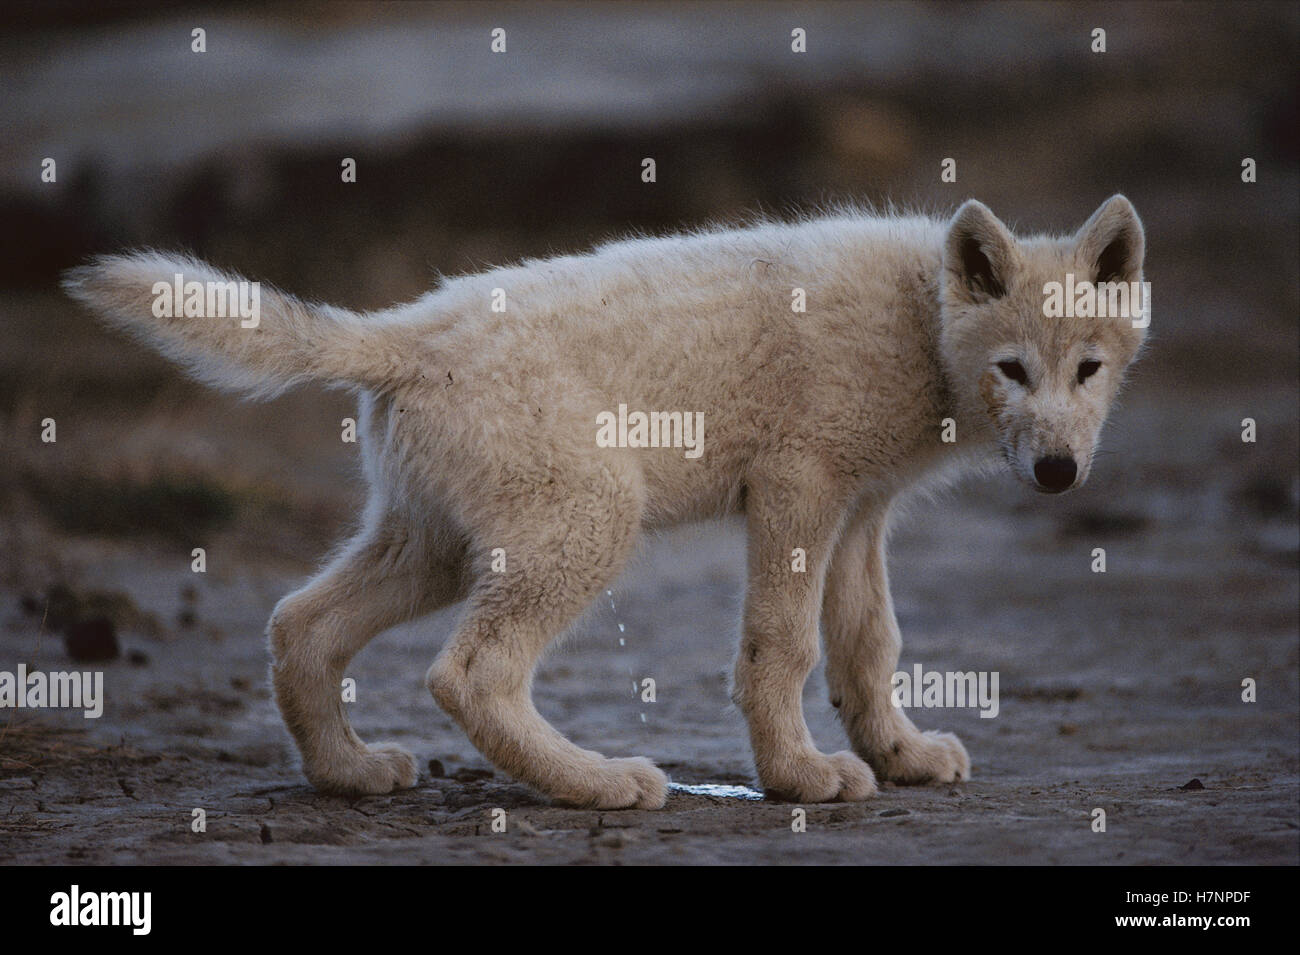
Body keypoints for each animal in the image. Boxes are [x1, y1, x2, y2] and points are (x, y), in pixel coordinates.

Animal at [63, 195, 1147, 809]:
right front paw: (798, 778)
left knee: (302, 624)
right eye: (1014, 369)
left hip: (439, 545)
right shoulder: (794, 489)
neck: (918, 320)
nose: (1059, 472)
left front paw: (900, 754)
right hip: (586, 524)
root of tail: (402, 332)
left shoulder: (859, 511)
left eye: (1088, 370)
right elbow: (782, 649)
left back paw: (350, 774)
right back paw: (598, 785)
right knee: (471, 673)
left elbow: (866, 646)